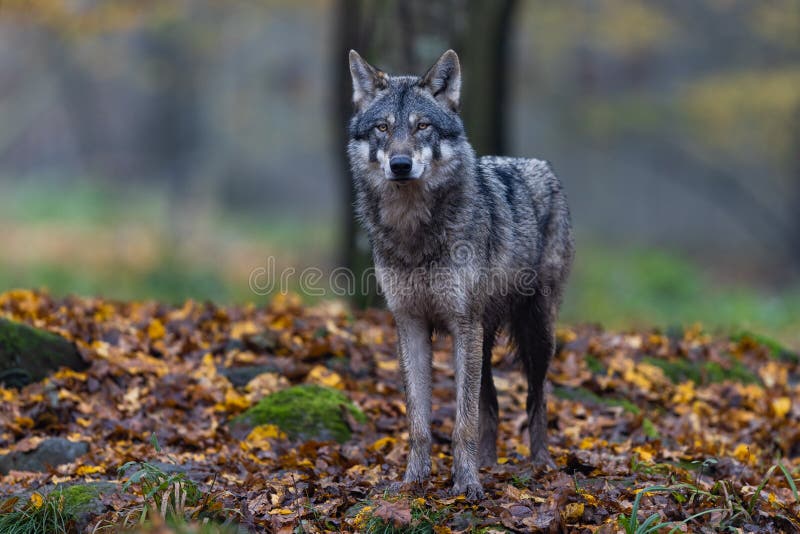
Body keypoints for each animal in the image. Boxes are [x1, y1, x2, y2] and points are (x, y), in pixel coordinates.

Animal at [347, 49, 574, 499]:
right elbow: (419, 422)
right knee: (492, 401)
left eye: (423, 126)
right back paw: (488, 463)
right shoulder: (410, 324)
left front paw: (466, 485)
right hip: (482, 339)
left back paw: (539, 466)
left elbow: (462, 423)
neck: (414, 233)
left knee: (536, 398)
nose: (400, 164)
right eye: (383, 128)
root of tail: (542, 165)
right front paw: (413, 481)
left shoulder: (462, 323)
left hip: (534, 332)